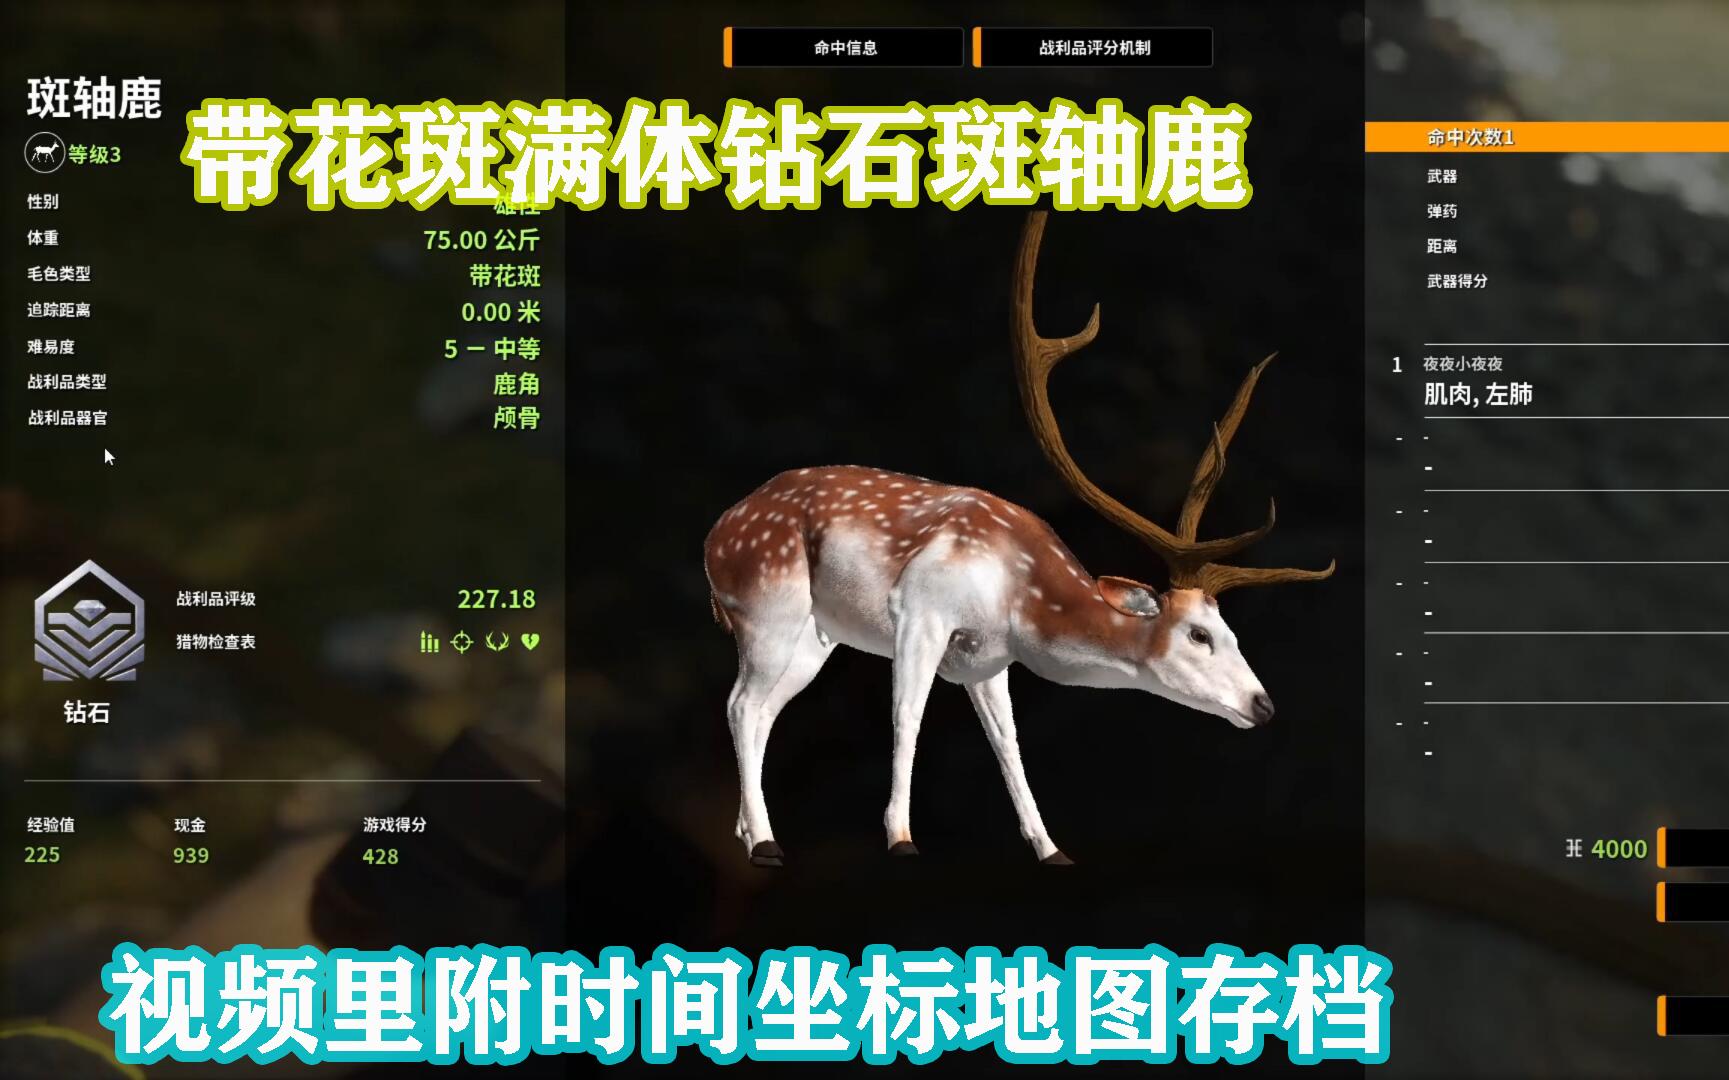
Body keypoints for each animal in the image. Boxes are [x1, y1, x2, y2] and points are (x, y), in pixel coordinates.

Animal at [704, 210, 1333, 867]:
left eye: (1230, 630)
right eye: (1199, 634)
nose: (1264, 705)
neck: (1019, 599)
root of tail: (716, 534)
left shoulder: (987, 660)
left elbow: (1008, 741)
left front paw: (1051, 848)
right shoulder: (920, 613)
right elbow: (907, 716)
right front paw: (902, 838)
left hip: (813, 636)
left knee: (762, 709)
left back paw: (751, 829)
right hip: (767, 609)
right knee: (741, 703)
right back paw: (765, 842)